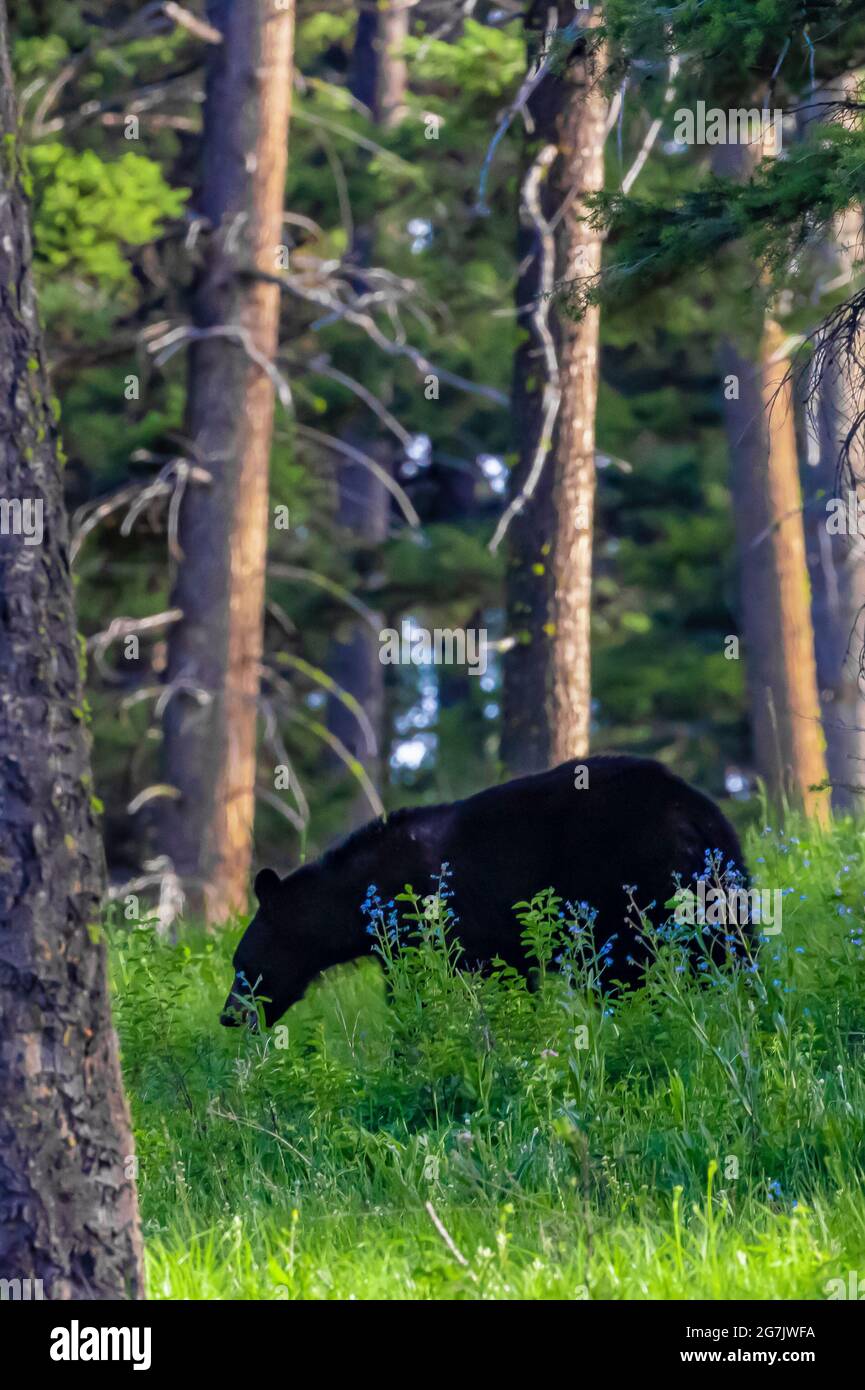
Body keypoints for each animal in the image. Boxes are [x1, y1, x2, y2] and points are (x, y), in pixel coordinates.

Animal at [220, 754, 748, 1028]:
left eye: (243, 965)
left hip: (628, 887)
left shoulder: (447, 927)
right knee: (731, 950)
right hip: (719, 888)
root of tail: (696, 810)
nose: (228, 1016)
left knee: (631, 969)